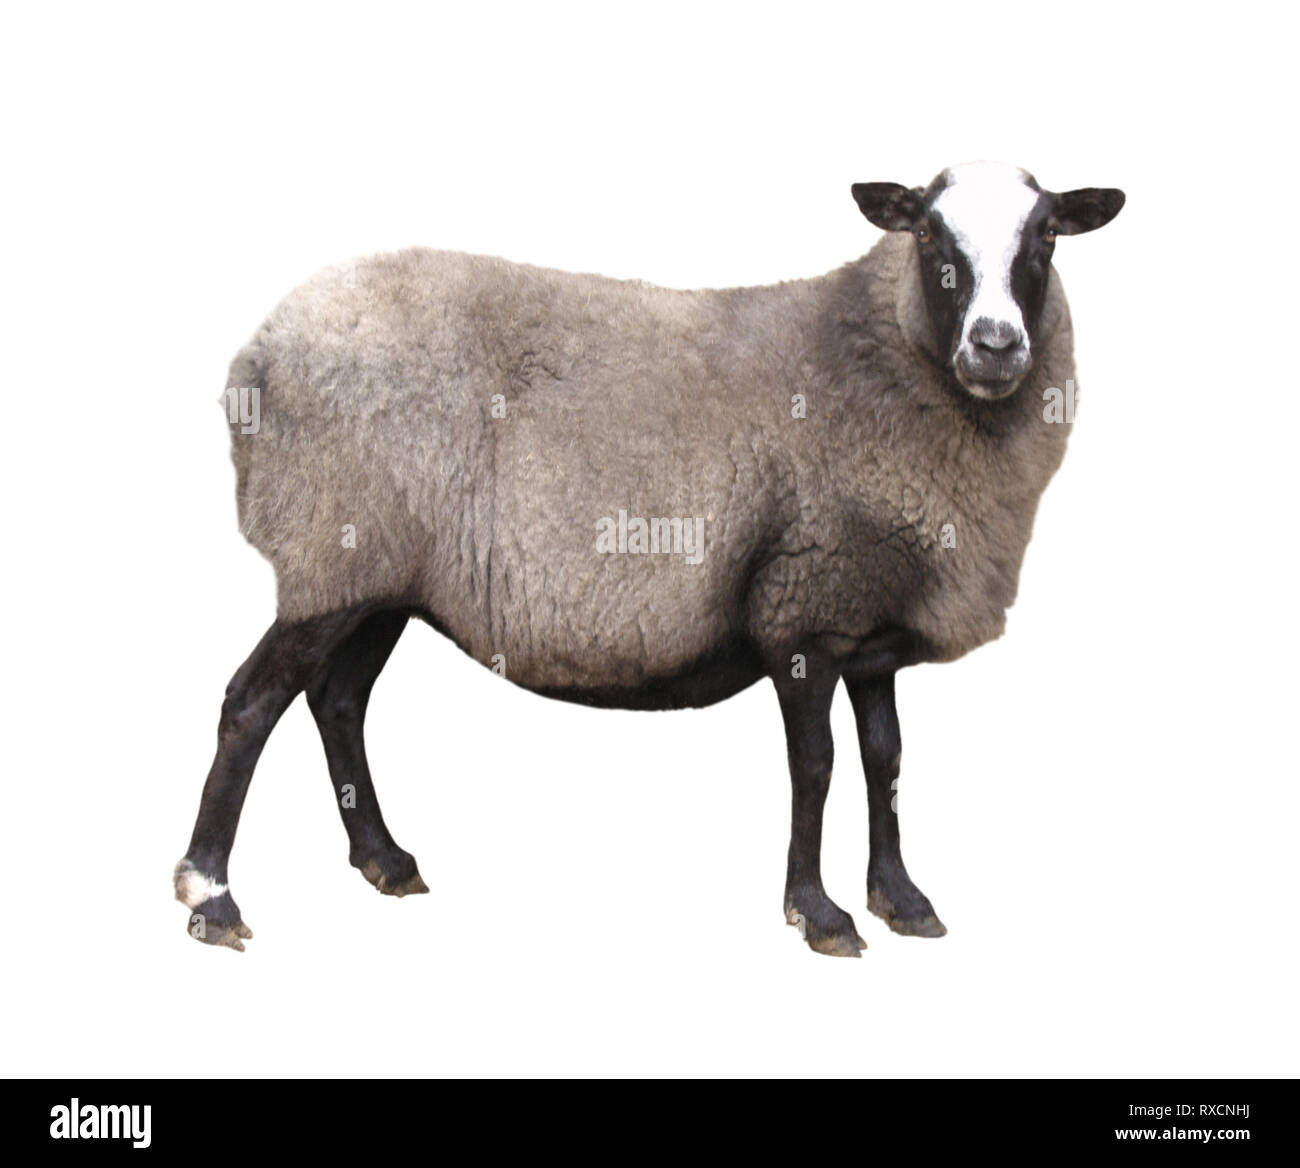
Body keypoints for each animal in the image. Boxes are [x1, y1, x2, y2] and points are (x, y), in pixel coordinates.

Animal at [176, 161, 1124, 956]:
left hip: (378, 575)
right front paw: (818, 914)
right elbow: (815, 767)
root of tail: (258, 354)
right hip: (330, 548)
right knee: (250, 704)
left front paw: (903, 899)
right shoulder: (798, 606)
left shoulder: (866, 619)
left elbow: (885, 761)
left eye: (1046, 234)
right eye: (929, 234)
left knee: (337, 702)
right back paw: (211, 896)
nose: (995, 345)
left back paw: (384, 860)